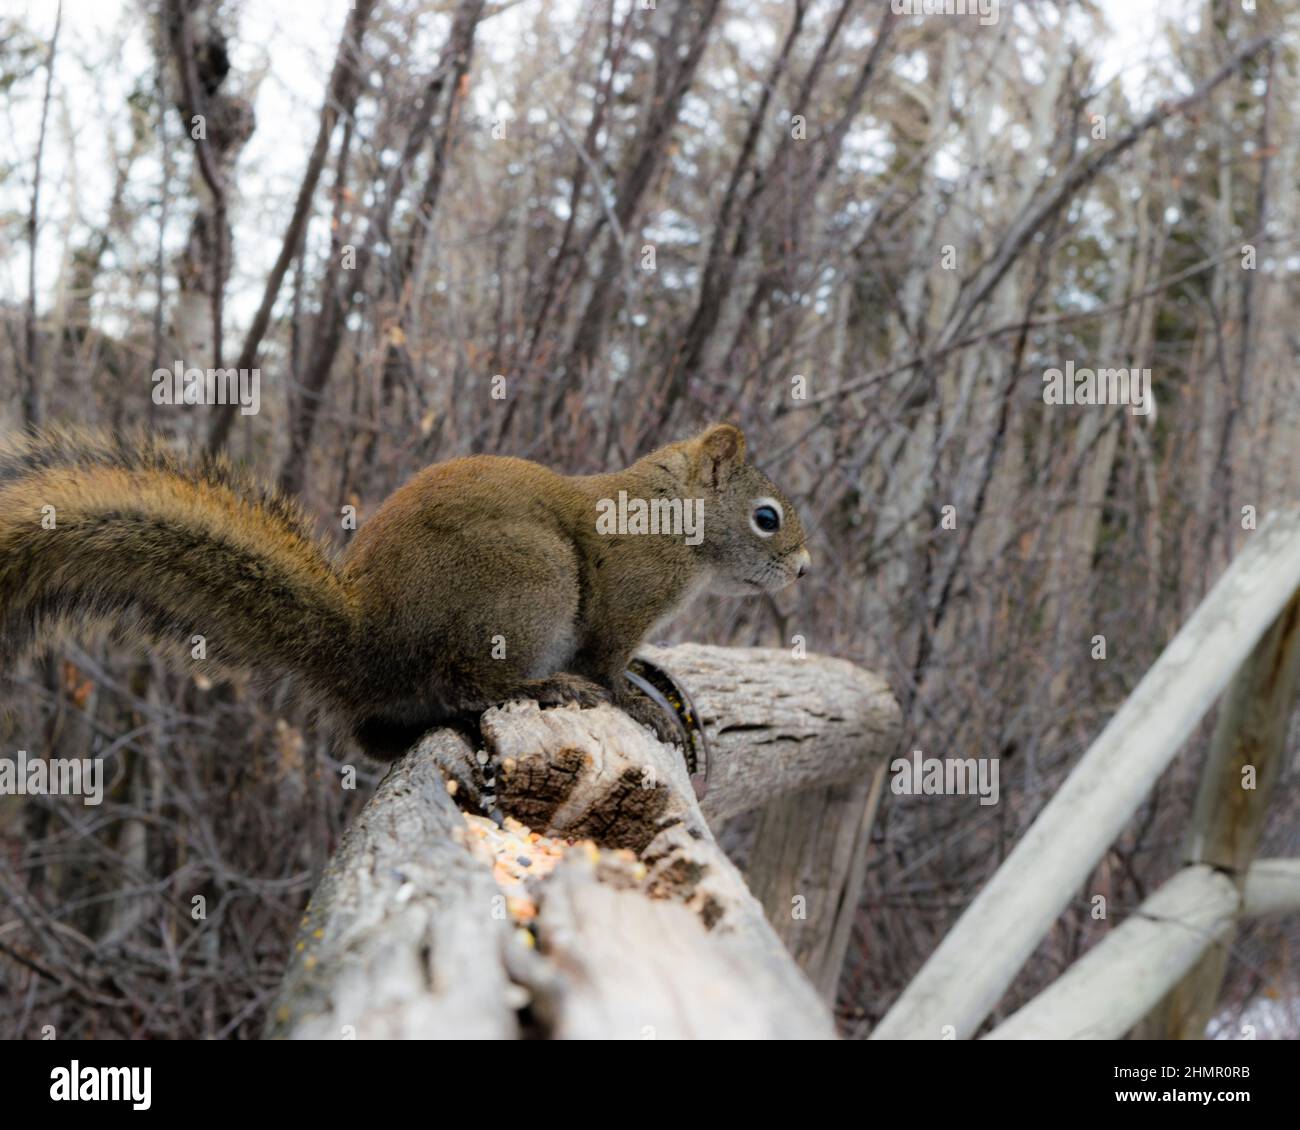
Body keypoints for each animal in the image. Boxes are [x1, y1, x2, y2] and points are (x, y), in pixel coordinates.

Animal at [0, 423, 809, 759]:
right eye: (767, 517)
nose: (803, 569)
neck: (674, 517)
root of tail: (368, 642)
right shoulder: (624, 597)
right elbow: (607, 661)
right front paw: (640, 704)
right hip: (532, 582)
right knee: (465, 680)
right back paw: (544, 687)